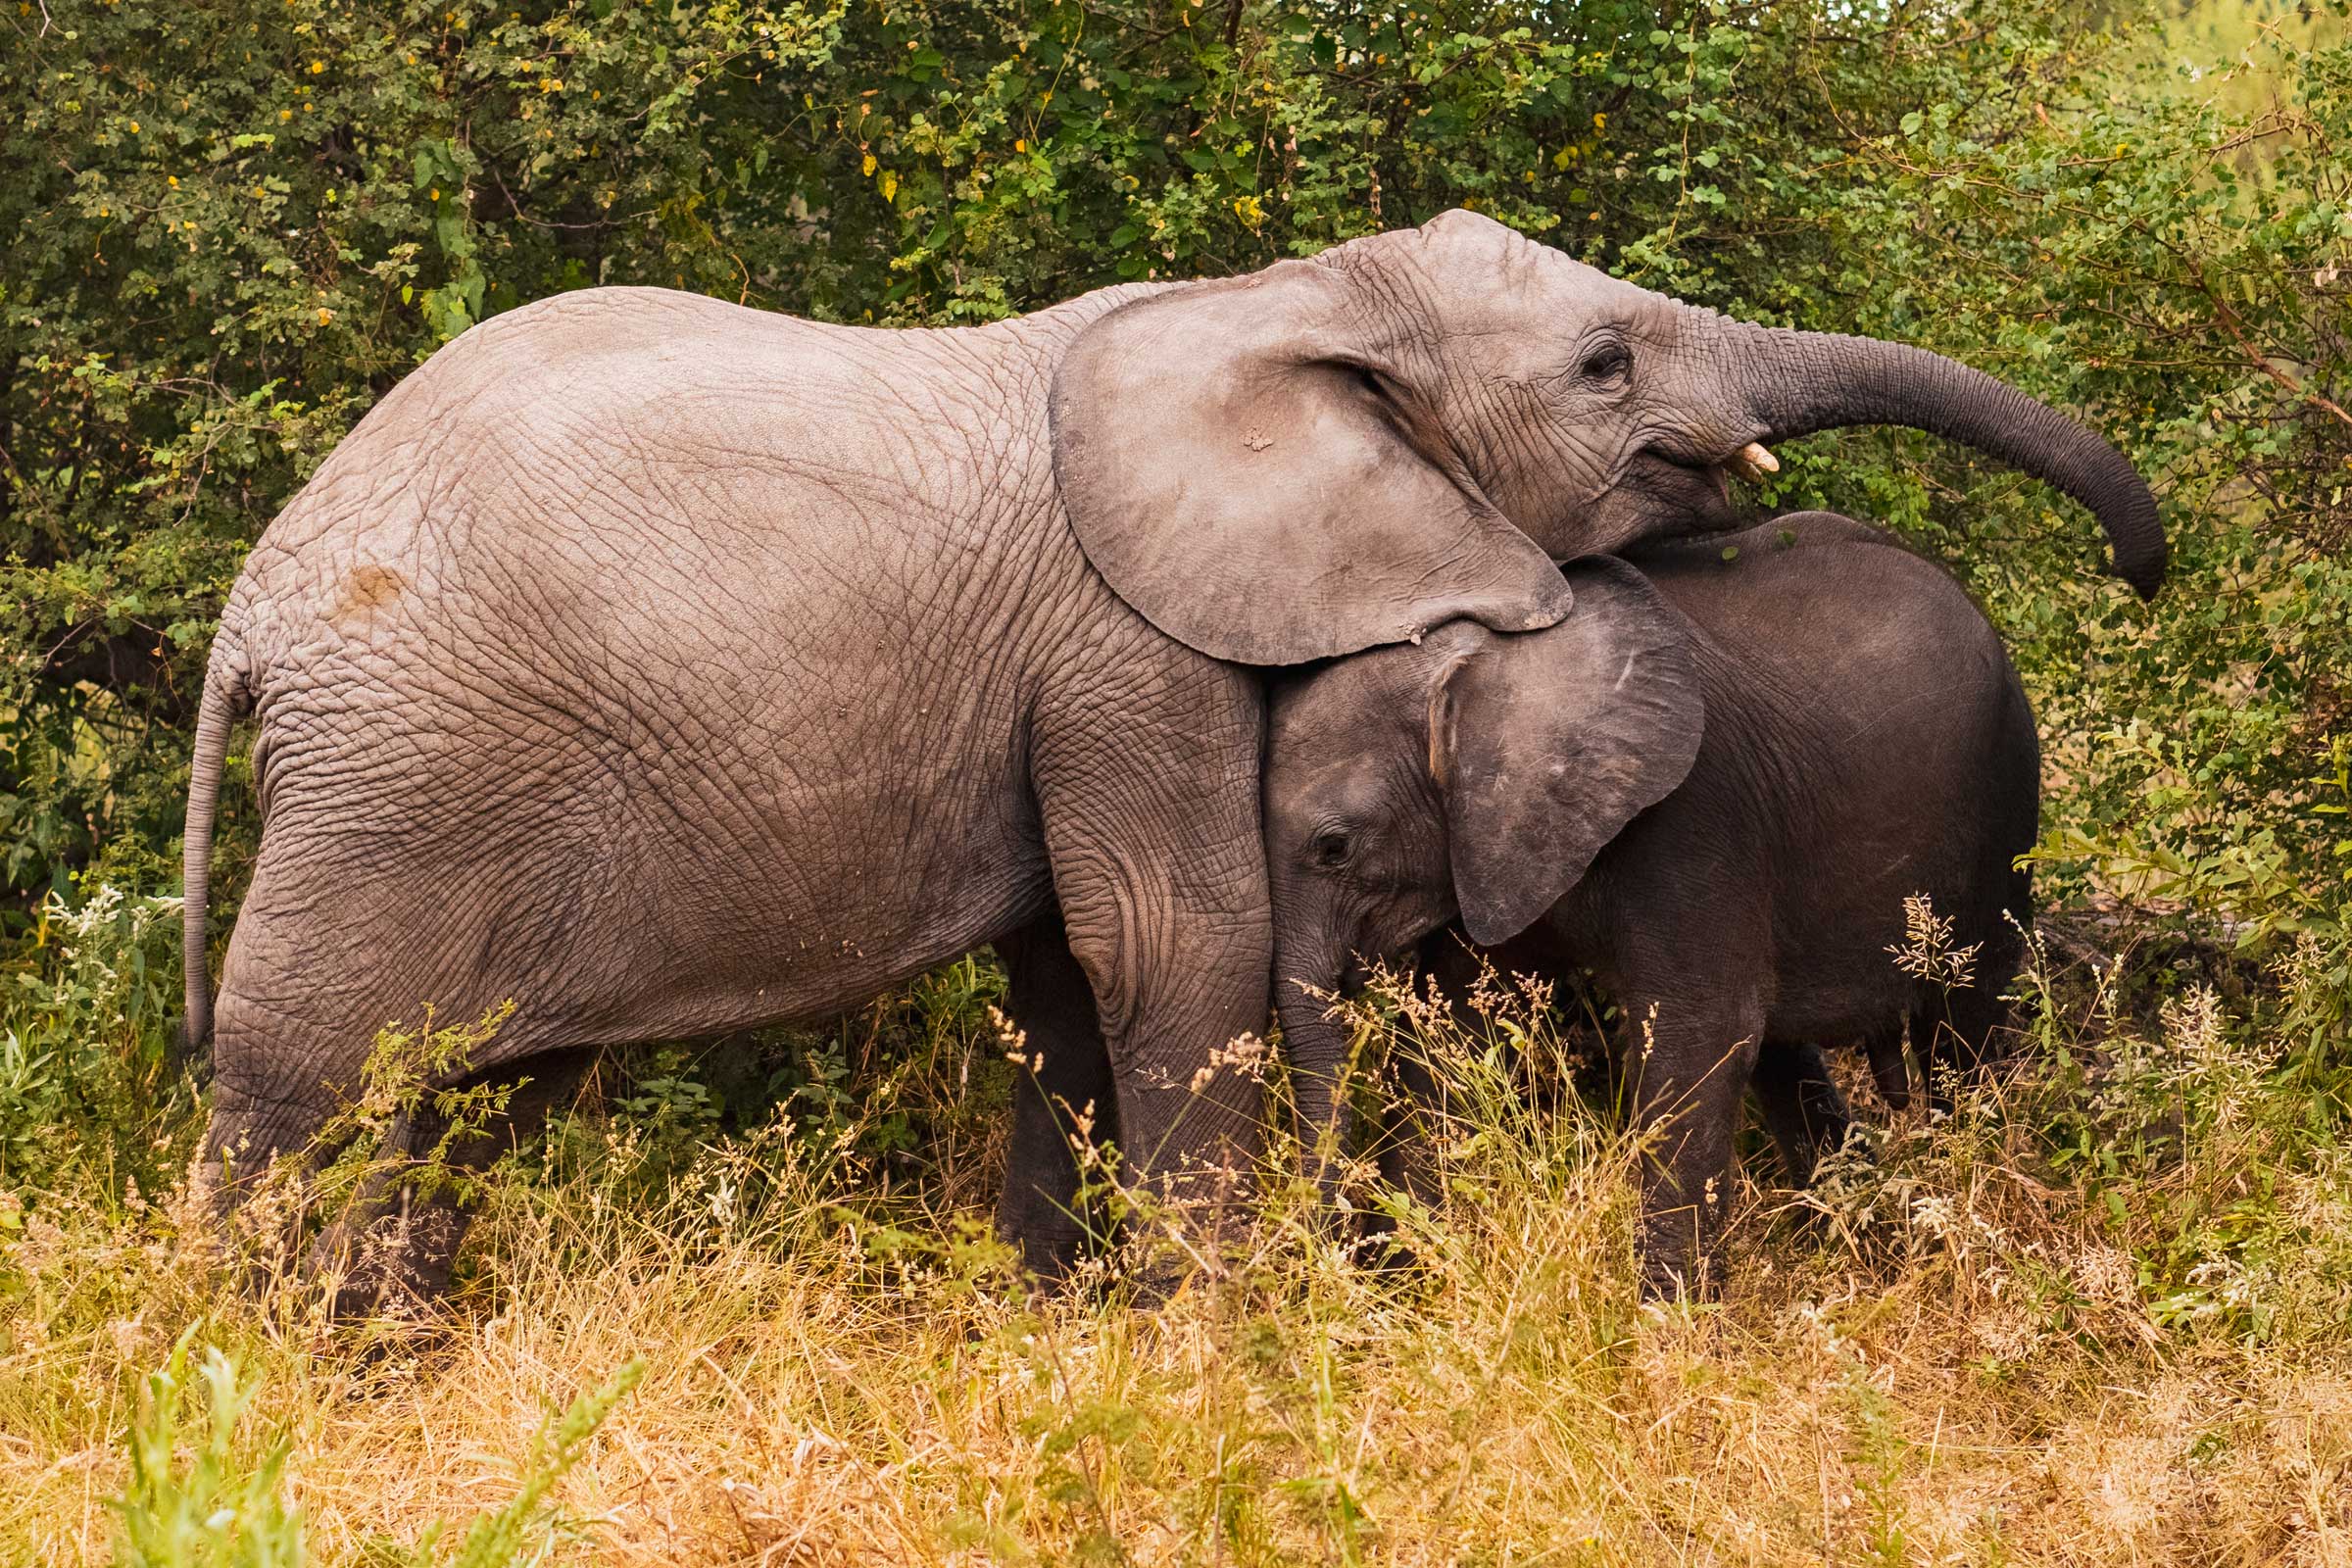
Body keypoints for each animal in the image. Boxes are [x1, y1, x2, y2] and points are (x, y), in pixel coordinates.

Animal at [1263, 511, 2040, 1296]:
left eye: (1334, 847)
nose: (1336, 1259)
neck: (1482, 667)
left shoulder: (1693, 817)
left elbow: (1698, 1037)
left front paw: (1668, 1315)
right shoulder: (1489, 843)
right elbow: (1453, 1035)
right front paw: (1415, 1279)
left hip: (2004, 796)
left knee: (1964, 1025)